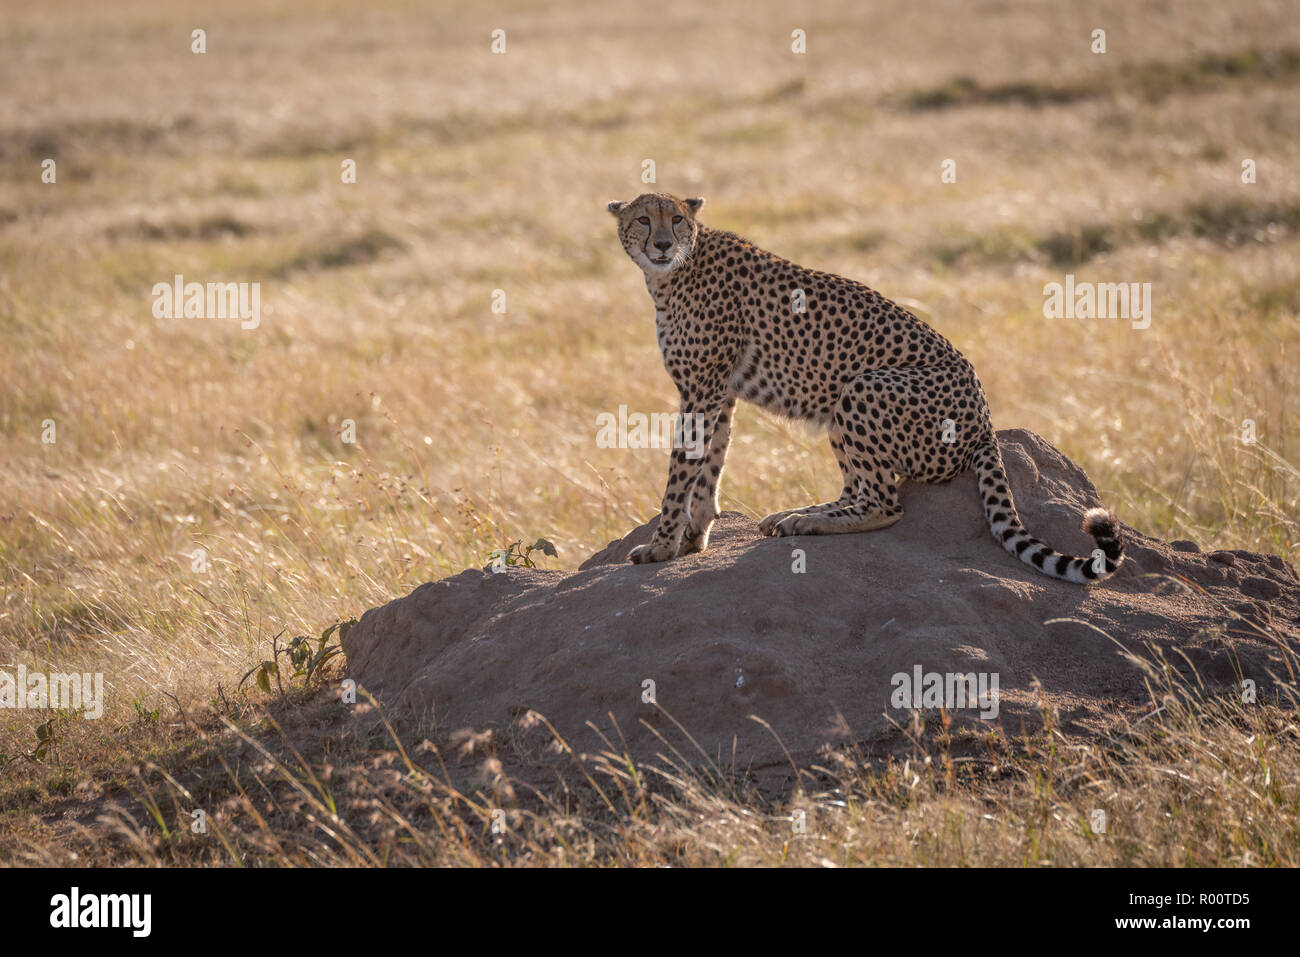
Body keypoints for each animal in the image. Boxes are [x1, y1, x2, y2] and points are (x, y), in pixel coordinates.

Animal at [606, 191, 1124, 584]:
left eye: (676, 218)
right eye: (642, 219)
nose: (661, 244)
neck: (673, 272)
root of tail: (985, 420)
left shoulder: (703, 390)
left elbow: (681, 471)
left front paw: (661, 545)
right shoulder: (720, 393)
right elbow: (710, 464)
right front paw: (693, 536)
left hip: (863, 386)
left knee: (884, 503)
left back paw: (809, 521)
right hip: (842, 407)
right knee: (856, 488)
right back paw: (798, 513)